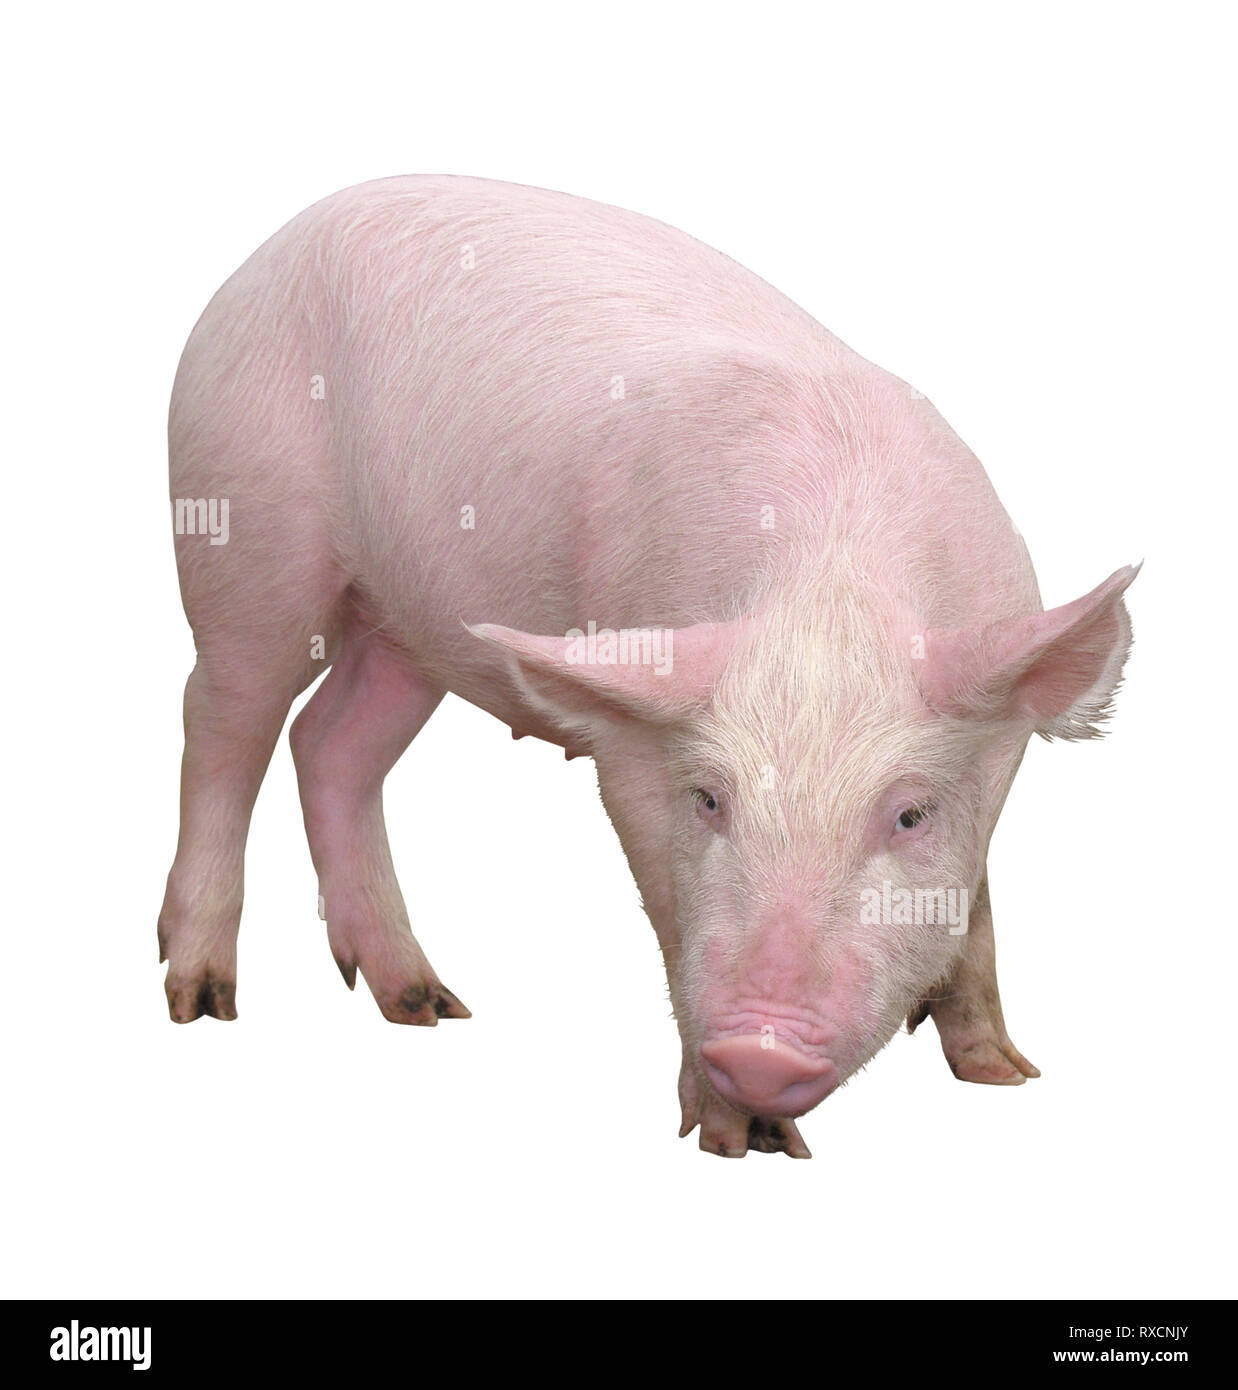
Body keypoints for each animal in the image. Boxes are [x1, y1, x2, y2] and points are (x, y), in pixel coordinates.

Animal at [160, 175, 1136, 1157]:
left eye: (910, 815)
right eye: (708, 800)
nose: (761, 1052)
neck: (827, 595)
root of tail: (266, 253)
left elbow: (978, 900)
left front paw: (1005, 1073)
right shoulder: (631, 745)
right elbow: (669, 907)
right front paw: (746, 1142)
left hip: (405, 622)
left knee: (331, 741)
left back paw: (426, 1004)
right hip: (243, 530)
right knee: (222, 719)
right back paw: (201, 1000)